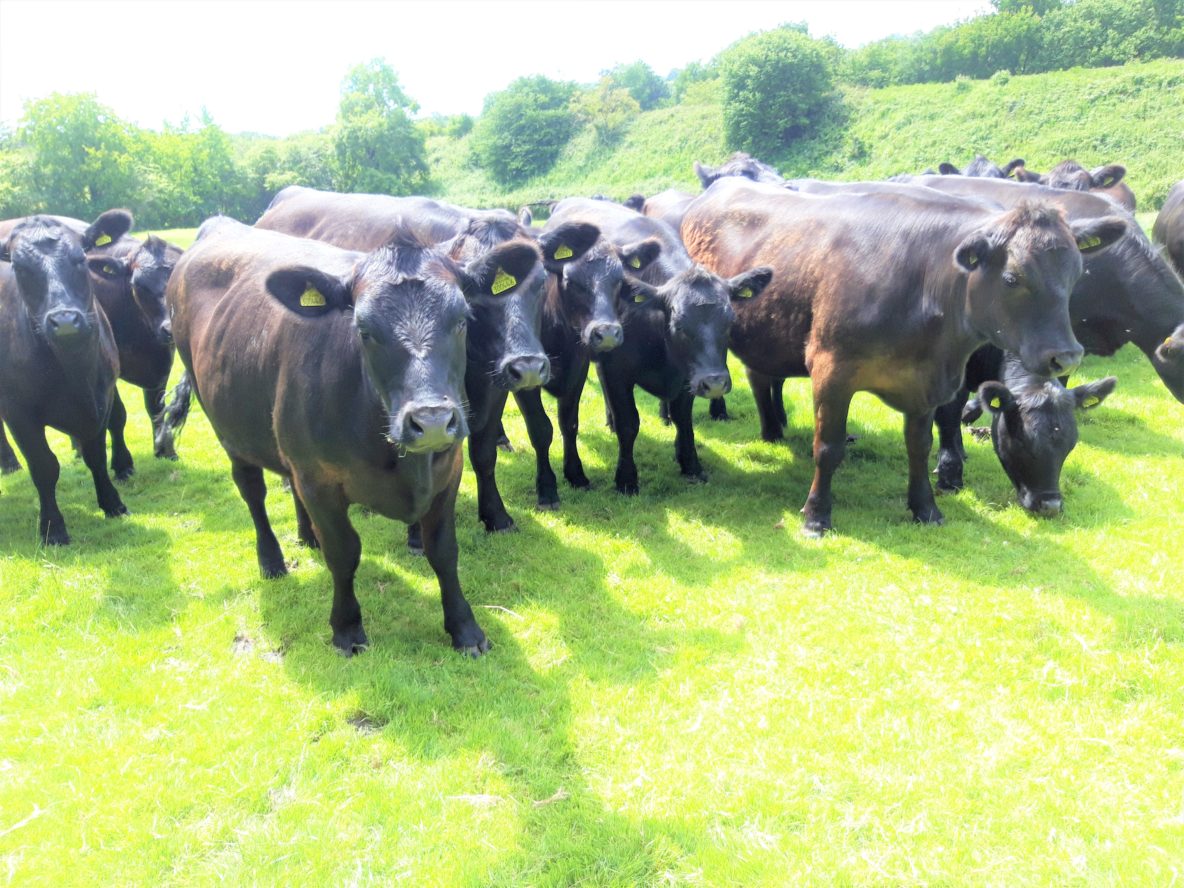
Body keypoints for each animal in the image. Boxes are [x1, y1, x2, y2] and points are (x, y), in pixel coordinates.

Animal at [0, 211, 133, 544]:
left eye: (80, 258)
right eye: (19, 268)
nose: (65, 321)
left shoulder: (101, 399)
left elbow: (96, 456)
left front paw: (112, 503)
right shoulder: (18, 412)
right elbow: (44, 466)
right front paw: (53, 528)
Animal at [167, 217, 542, 655]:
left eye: (463, 318)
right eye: (363, 330)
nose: (431, 420)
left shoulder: (448, 469)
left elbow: (444, 551)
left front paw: (465, 629)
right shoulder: (320, 481)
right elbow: (344, 554)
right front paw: (346, 628)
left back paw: (306, 536)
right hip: (228, 430)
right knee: (252, 492)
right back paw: (272, 560)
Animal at [543, 198, 772, 494]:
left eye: (730, 321)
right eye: (678, 324)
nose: (715, 383)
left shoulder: (688, 375)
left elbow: (683, 417)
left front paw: (690, 463)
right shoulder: (616, 371)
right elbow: (629, 423)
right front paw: (626, 478)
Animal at [681, 177, 1125, 535]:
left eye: (1077, 273)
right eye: (1013, 278)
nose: (1066, 356)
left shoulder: (928, 384)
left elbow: (919, 445)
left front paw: (925, 508)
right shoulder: (831, 370)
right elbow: (828, 448)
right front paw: (816, 516)